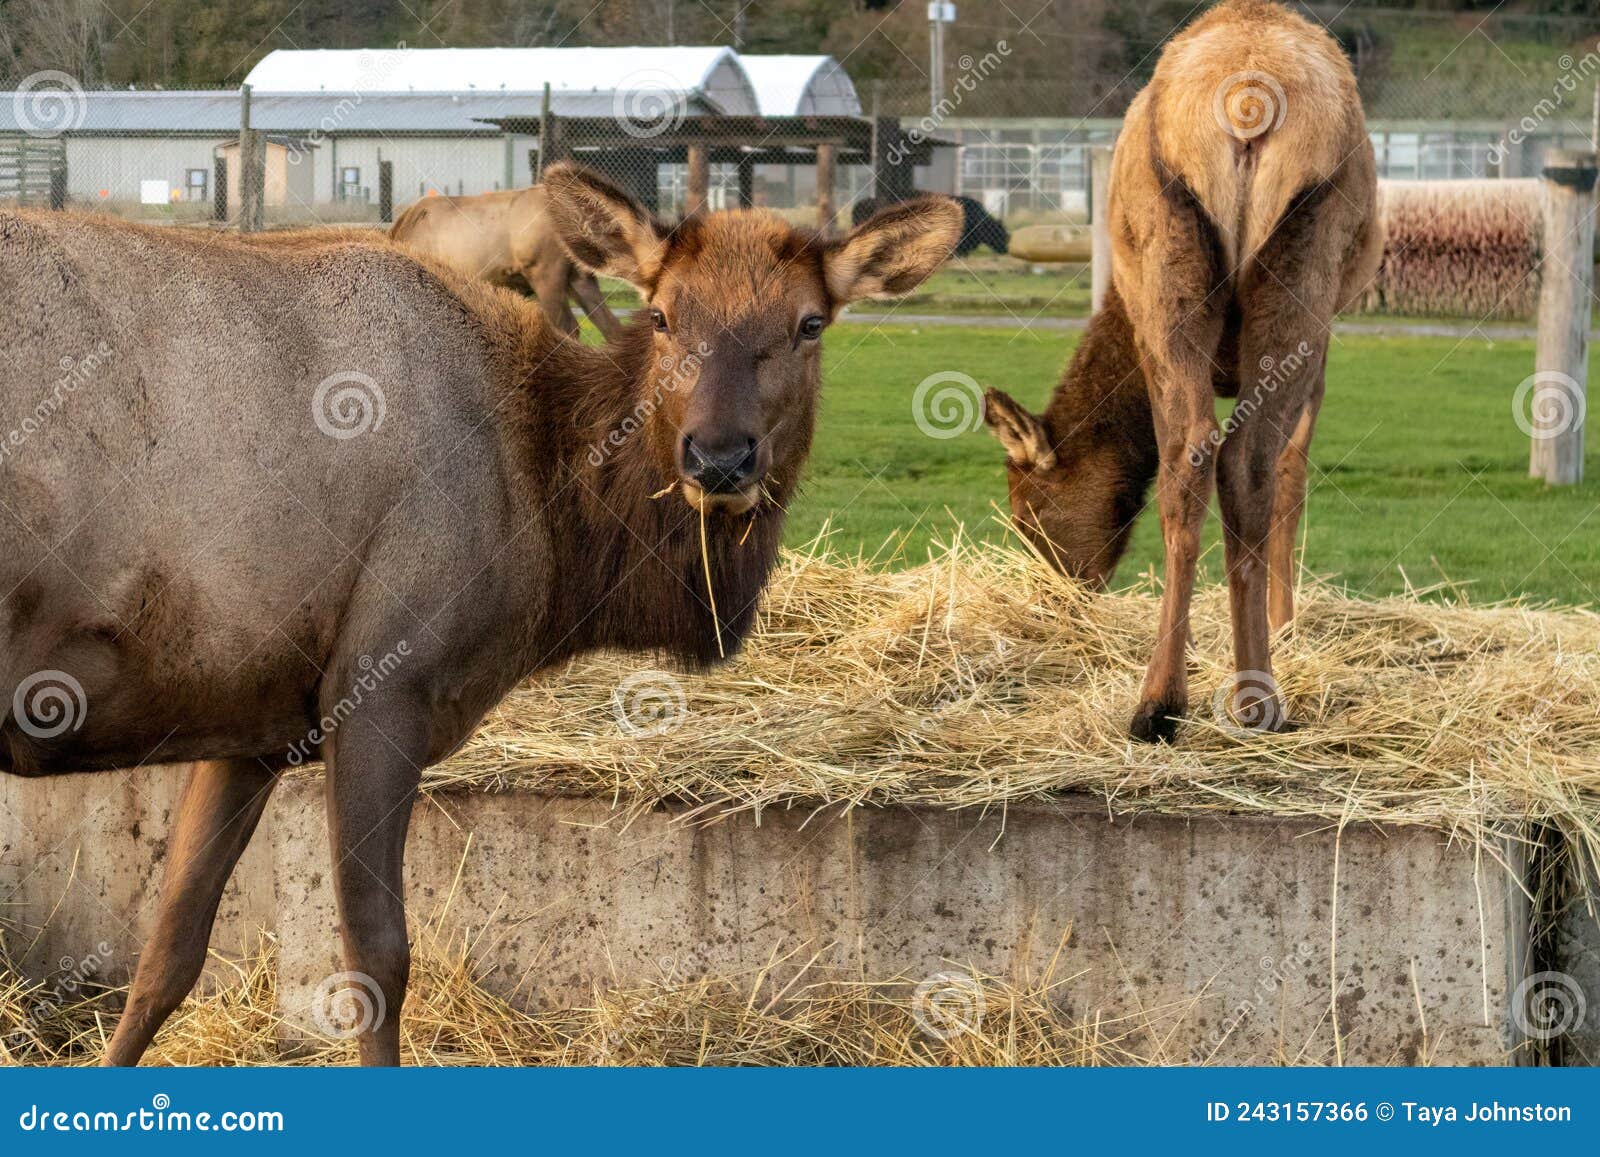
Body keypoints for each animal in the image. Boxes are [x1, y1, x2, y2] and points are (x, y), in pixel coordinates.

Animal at [985, 0, 1380, 743]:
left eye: (1026, 512)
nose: (1057, 603)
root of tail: (1250, 102)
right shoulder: (1321, 345)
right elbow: (1289, 473)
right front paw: (1281, 624)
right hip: (1291, 263)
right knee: (1231, 459)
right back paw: (1224, 696)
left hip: (1178, 255)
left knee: (1201, 458)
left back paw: (1178, 700)